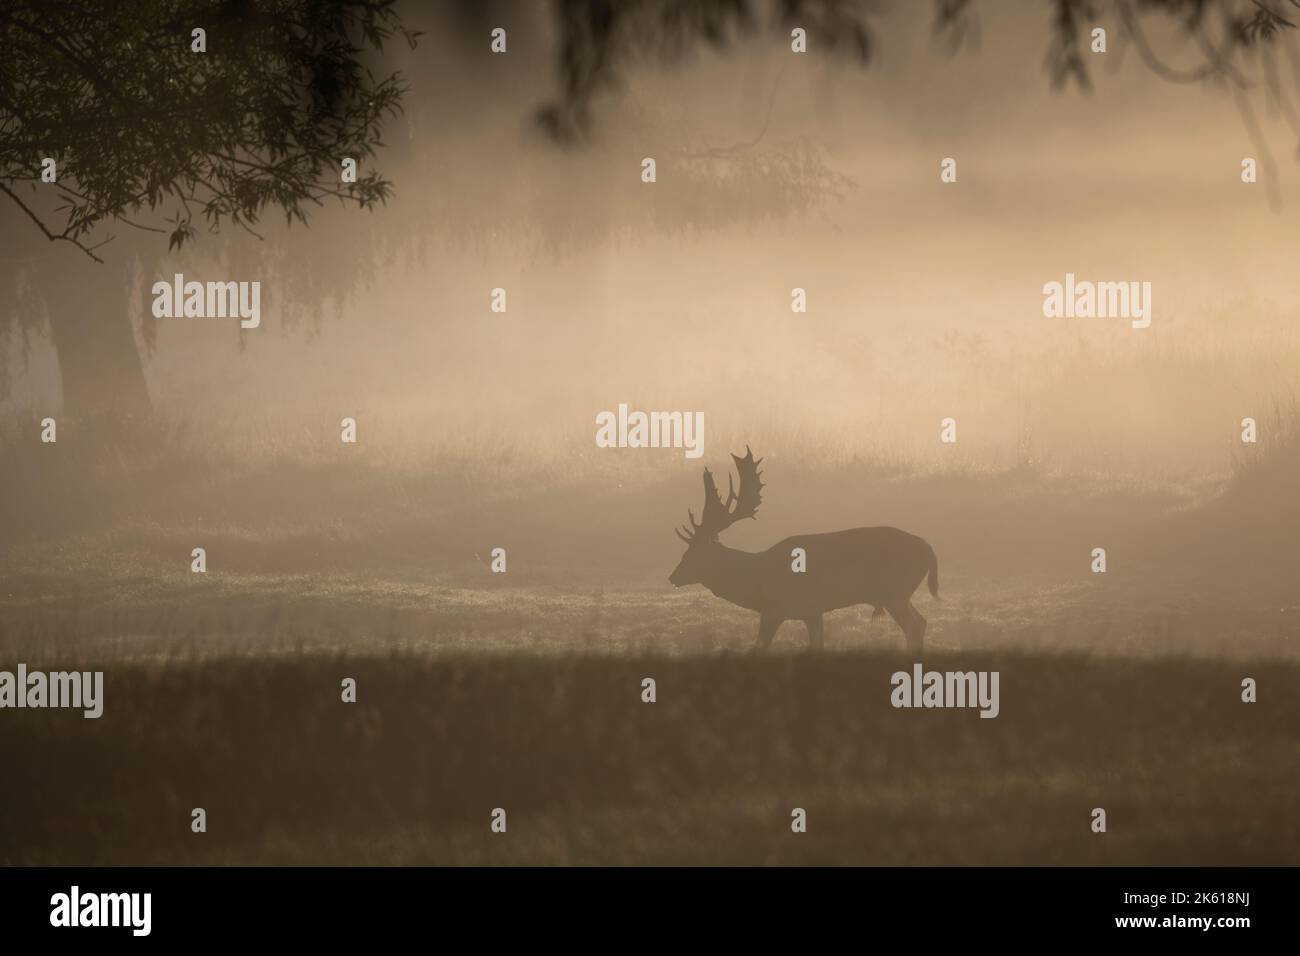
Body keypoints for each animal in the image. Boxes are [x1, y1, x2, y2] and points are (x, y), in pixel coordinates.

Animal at [668, 447, 939, 653]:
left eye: (694, 553)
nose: (673, 577)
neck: (757, 578)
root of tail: (929, 549)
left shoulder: (776, 609)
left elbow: (760, 648)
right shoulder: (812, 611)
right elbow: (817, 645)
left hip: (896, 593)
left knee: (915, 626)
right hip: (899, 594)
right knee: (921, 623)